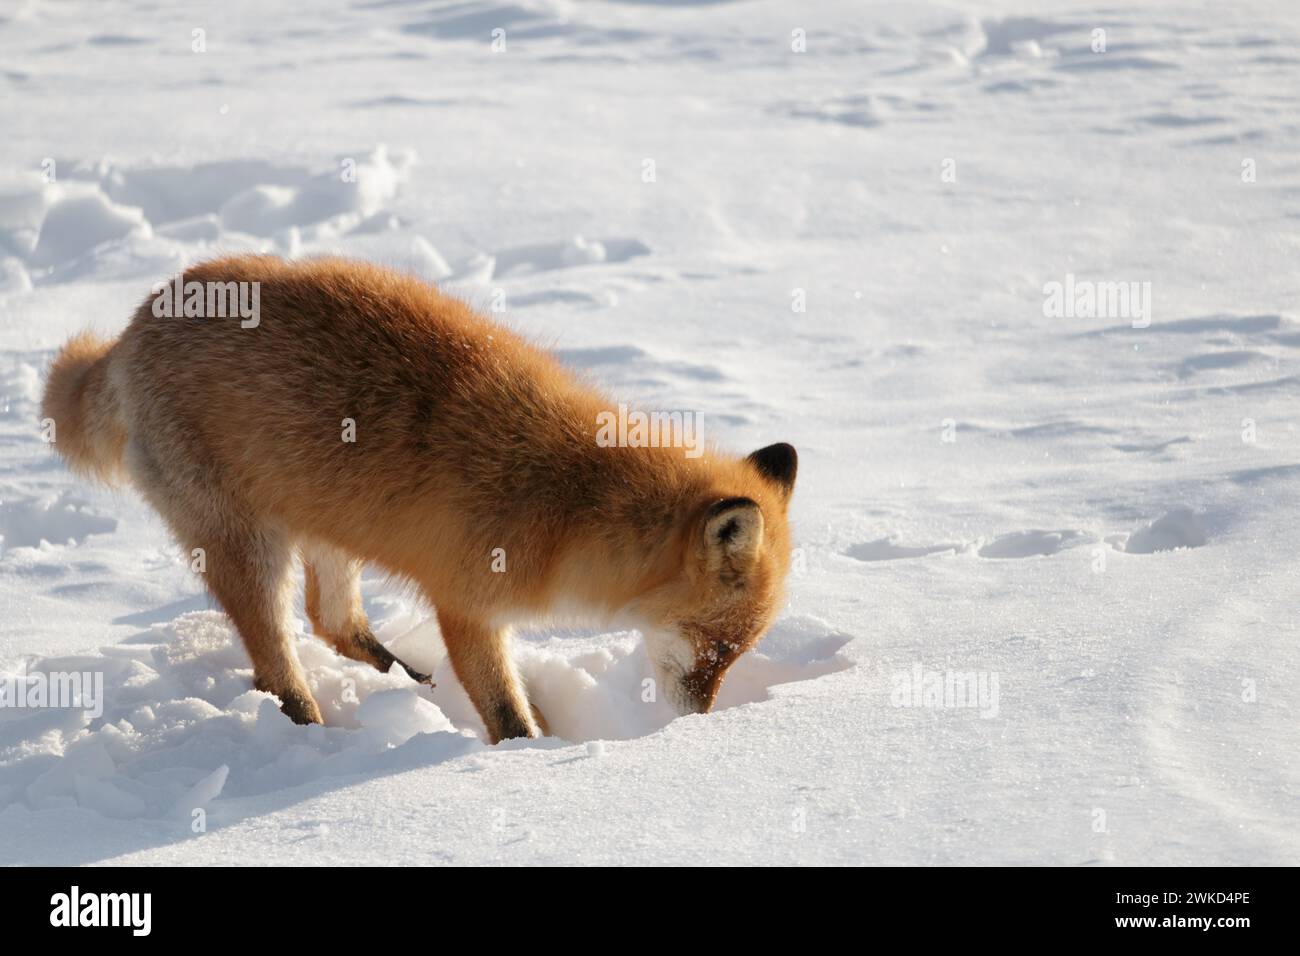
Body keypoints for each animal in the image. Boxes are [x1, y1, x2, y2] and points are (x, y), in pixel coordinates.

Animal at [40, 255, 797, 742]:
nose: (697, 726)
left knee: (334, 624)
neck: (567, 503)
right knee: (277, 668)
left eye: (737, 652)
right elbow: (509, 719)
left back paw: (412, 687)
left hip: (328, 528)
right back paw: (315, 735)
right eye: (718, 647)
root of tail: (133, 327)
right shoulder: (467, 605)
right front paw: (533, 757)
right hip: (251, 549)